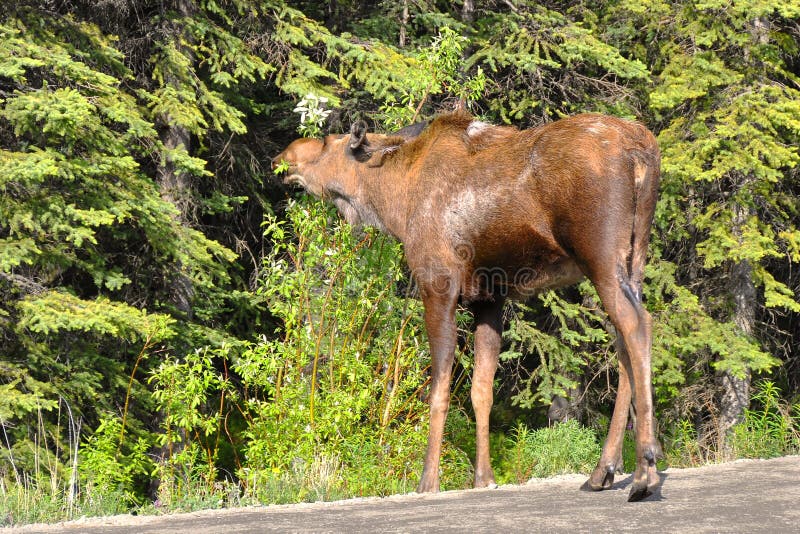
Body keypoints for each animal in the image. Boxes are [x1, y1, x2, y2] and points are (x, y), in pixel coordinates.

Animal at [272, 110, 662, 501]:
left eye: (325, 142)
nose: (282, 157)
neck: (394, 201)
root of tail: (642, 150)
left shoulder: (438, 285)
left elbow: (439, 390)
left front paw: (428, 481)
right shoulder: (489, 299)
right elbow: (481, 392)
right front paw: (483, 477)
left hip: (600, 255)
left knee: (638, 326)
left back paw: (644, 470)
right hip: (634, 257)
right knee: (624, 343)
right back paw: (603, 472)